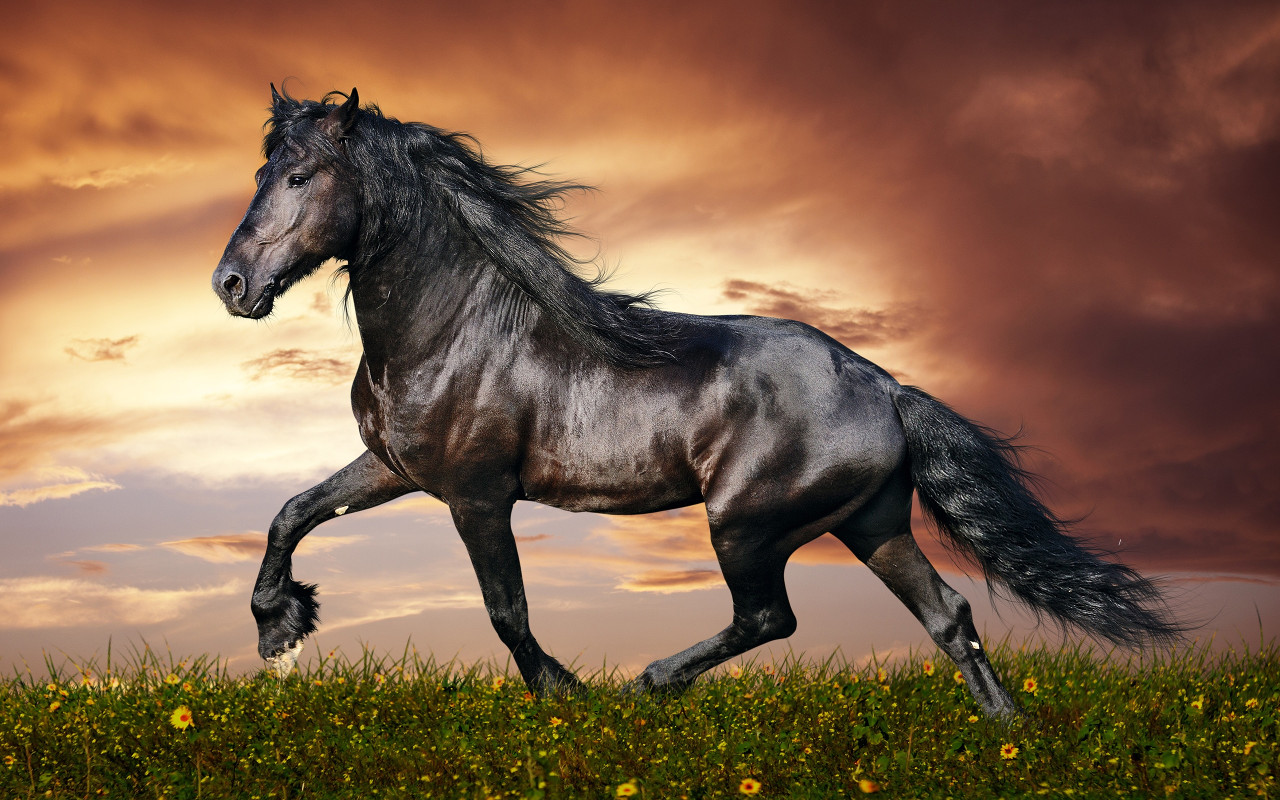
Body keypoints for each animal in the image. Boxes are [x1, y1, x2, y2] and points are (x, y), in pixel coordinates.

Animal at [212, 87, 1182, 718]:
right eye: (262, 172)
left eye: (300, 177)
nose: (231, 285)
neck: (453, 328)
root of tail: (885, 386)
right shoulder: (395, 467)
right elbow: (291, 512)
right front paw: (280, 629)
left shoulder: (476, 495)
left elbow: (506, 610)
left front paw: (566, 696)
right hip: (871, 522)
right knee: (948, 617)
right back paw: (1005, 735)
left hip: (746, 523)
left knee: (770, 616)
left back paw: (650, 683)